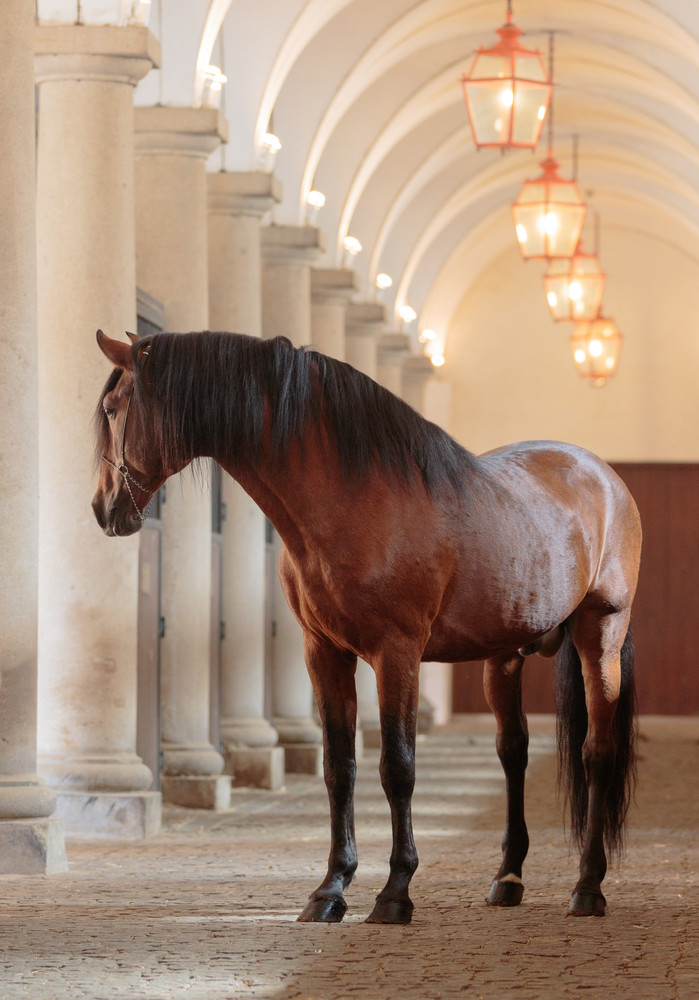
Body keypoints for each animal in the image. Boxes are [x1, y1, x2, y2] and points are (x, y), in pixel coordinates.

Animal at [92, 328, 641, 924]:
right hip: (505, 653)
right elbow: (340, 767)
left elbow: (397, 767)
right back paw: (508, 878)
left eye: (112, 408)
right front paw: (330, 890)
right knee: (512, 752)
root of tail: (603, 476)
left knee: (597, 752)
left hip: (600, 637)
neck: (352, 498)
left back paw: (588, 886)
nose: (102, 507)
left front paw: (395, 891)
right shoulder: (324, 652)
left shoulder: (396, 654)